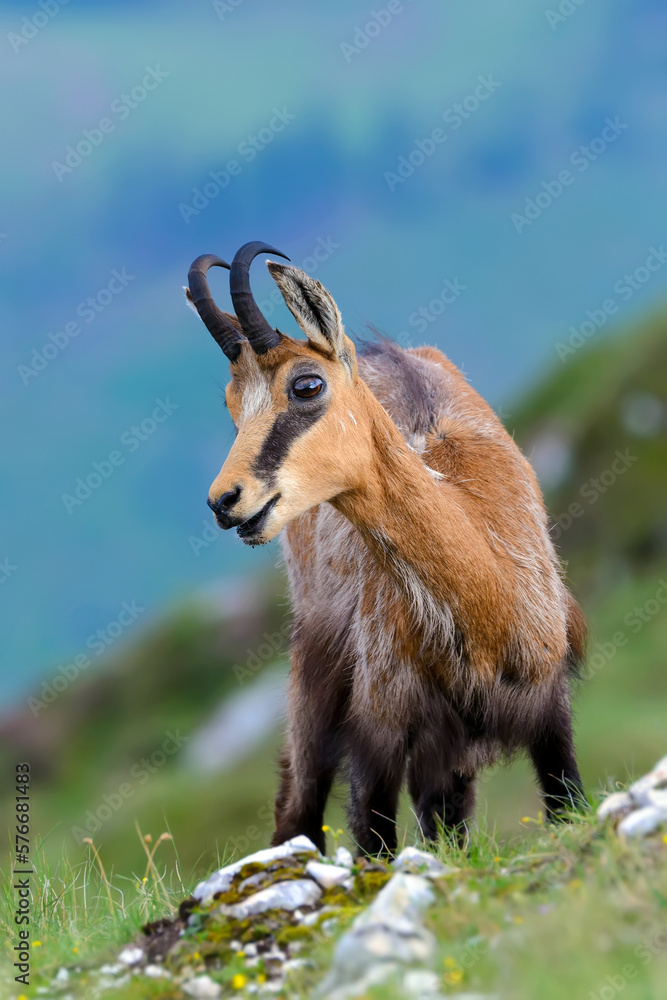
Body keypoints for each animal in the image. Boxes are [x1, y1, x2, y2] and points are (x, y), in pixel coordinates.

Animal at [186, 241, 586, 855]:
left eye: (307, 384)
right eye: (231, 404)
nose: (225, 501)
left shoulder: (550, 714)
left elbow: (568, 804)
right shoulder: (377, 730)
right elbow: (372, 841)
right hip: (316, 670)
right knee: (297, 802)